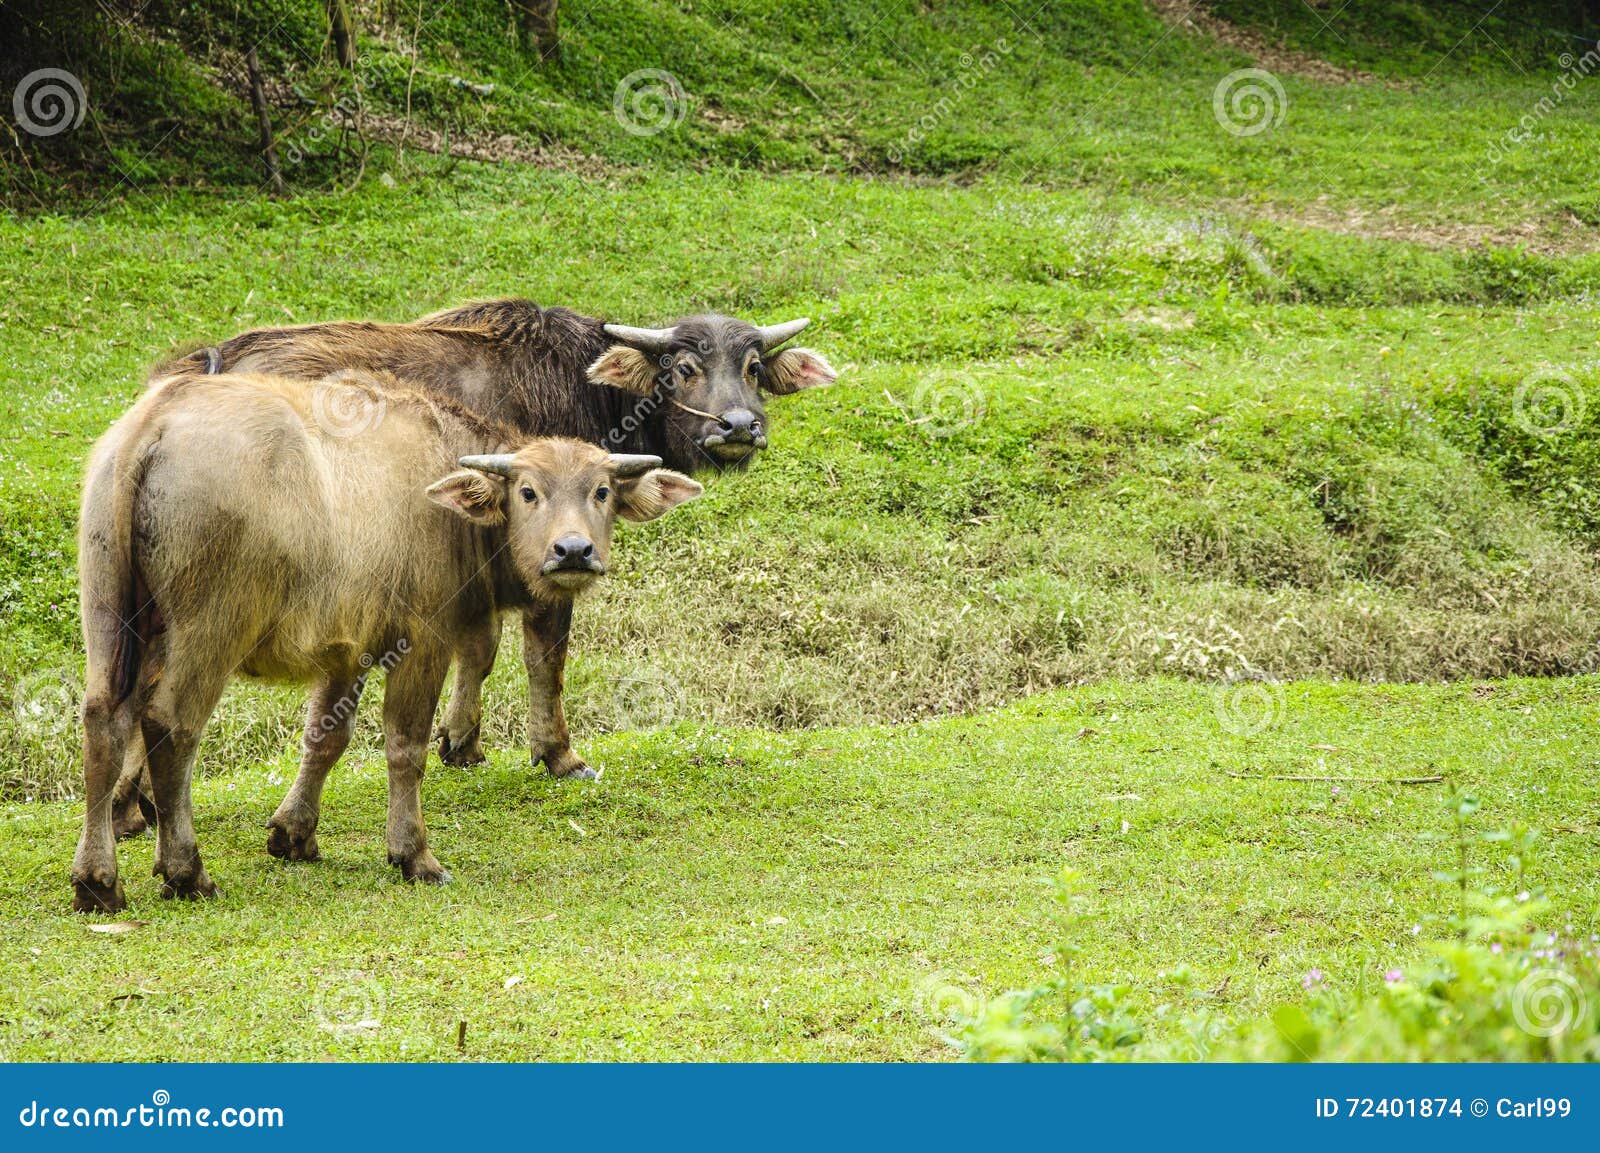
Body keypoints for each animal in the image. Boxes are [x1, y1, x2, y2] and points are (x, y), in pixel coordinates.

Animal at [72, 368, 701, 913]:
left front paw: (293, 833)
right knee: (171, 727)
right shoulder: (422, 639)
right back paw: (186, 871)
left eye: (601, 491)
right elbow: (406, 744)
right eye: (528, 491)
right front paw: (412, 853)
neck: (447, 506)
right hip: (210, 627)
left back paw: (97, 881)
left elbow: (326, 738)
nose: (573, 551)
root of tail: (154, 422)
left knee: (104, 719)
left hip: (108, 615)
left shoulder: (345, 649)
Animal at [108, 299, 837, 838]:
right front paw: (558, 752)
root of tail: (209, 361)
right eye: (683, 366)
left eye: (752, 365)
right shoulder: (543, 556)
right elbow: (544, 654)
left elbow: (480, 646)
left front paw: (461, 739)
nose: (738, 426)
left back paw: (129, 805)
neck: (585, 389)